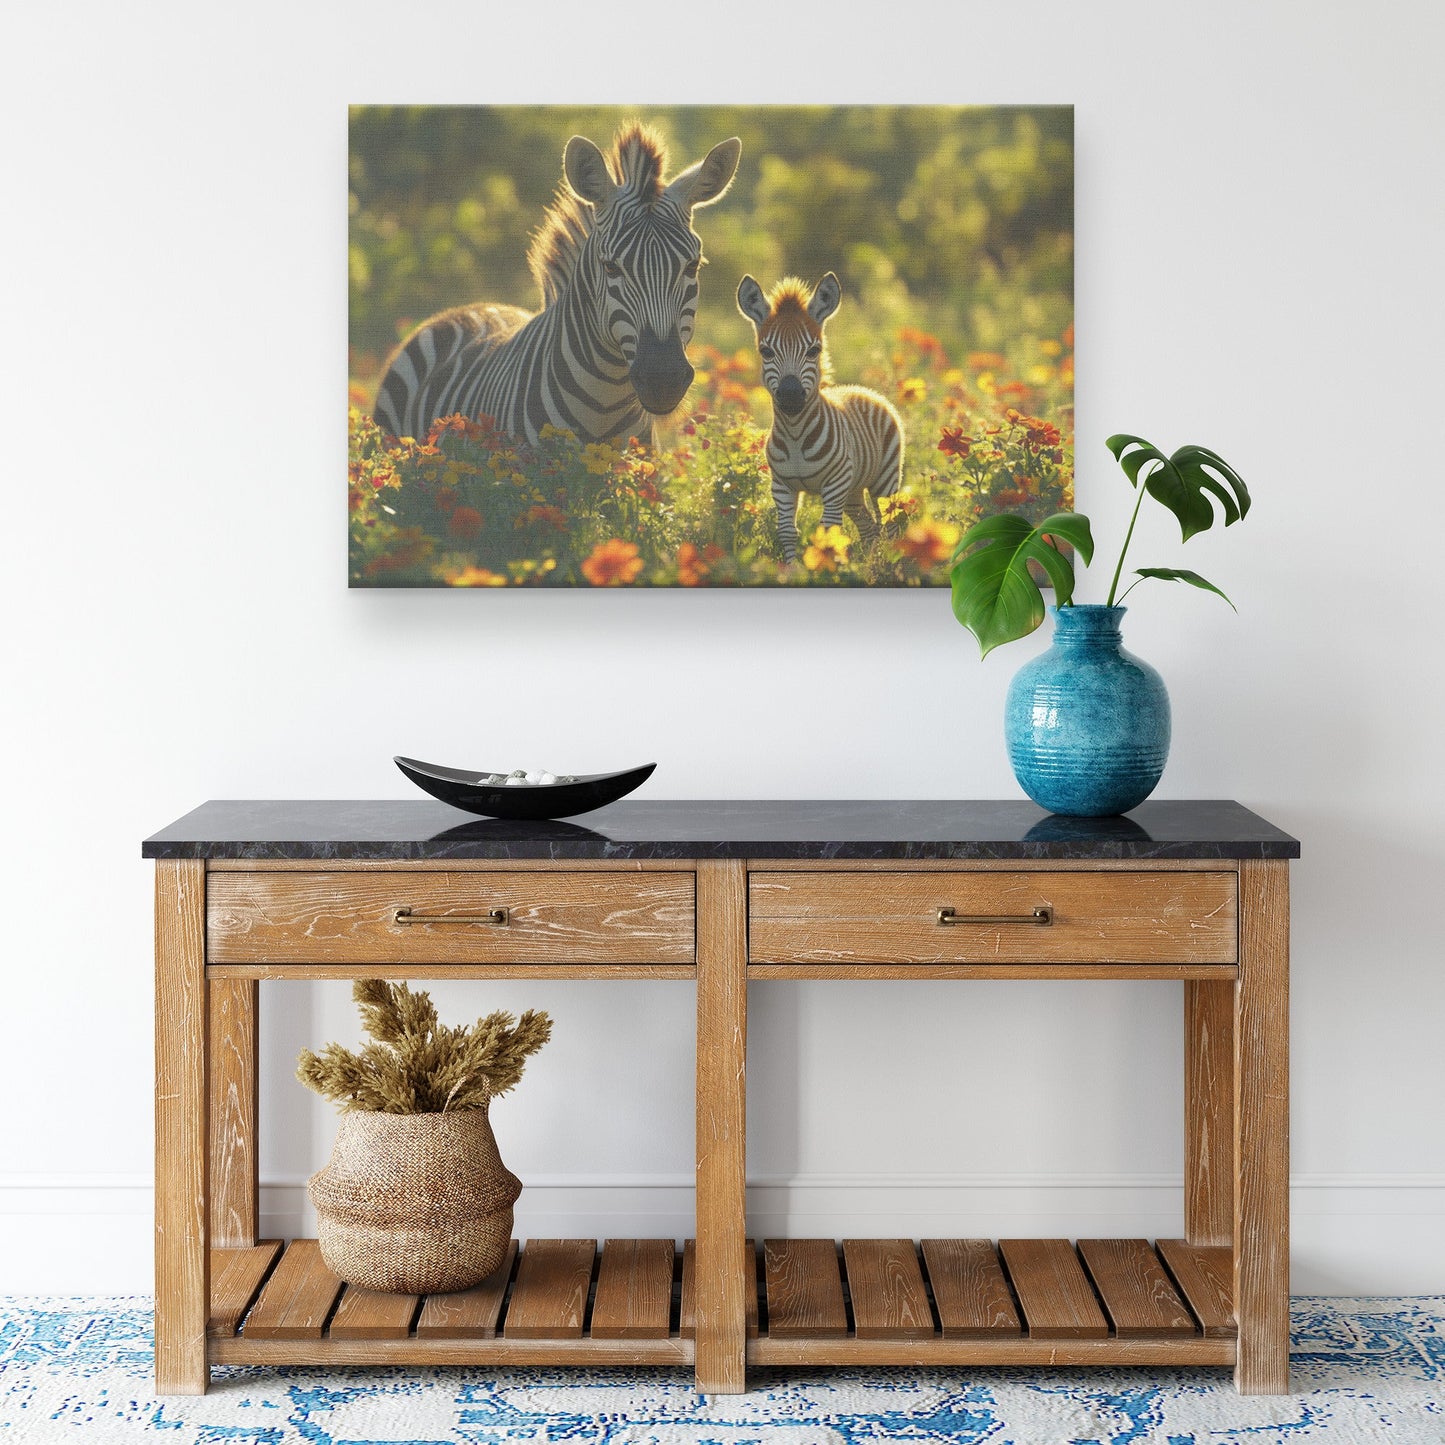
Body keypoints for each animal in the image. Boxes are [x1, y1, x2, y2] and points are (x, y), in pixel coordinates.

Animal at [736, 272, 904, 564]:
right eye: (766, 352)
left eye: (813, 350)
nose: (791, 396)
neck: (794, 435)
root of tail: (865, 391)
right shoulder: (782, 486)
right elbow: (787, 532)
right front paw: (793, 569)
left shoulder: (836, 482)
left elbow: (828, 531)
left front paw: (826, 567)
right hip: (853, 491)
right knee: (869, 527)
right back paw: (869, 564)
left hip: (884, 478)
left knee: (890, 524)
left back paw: (893, 565)